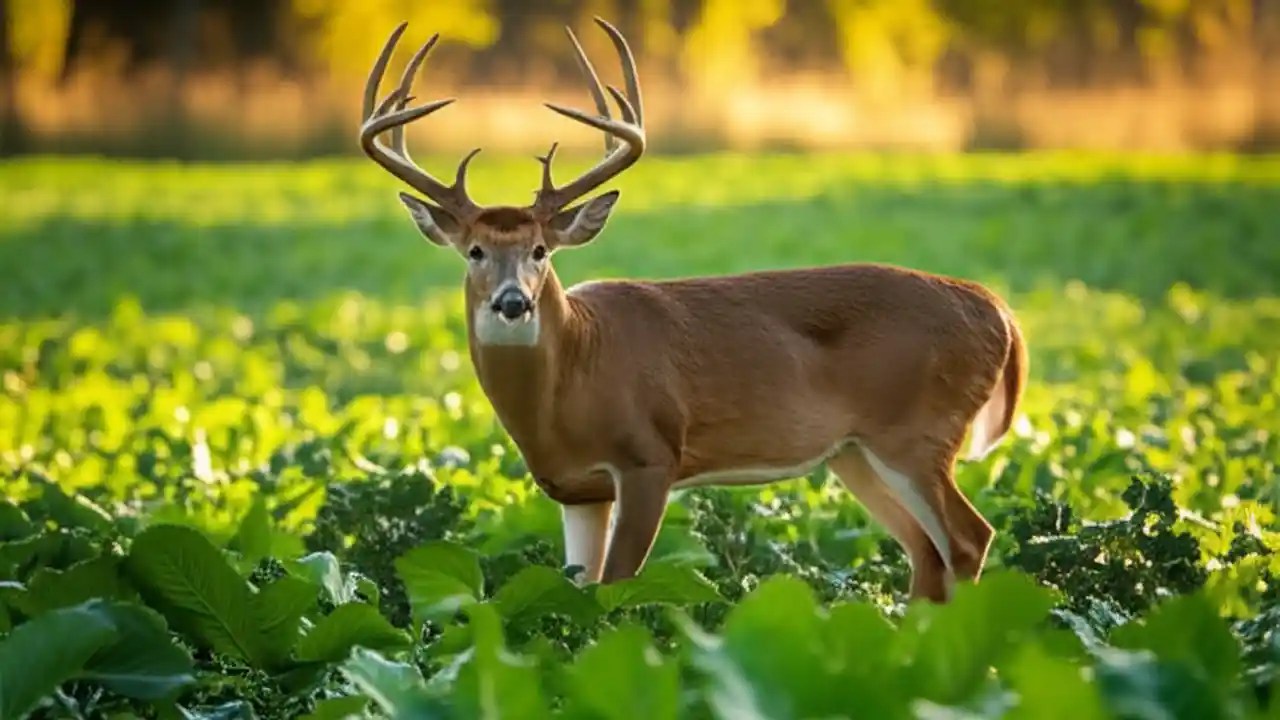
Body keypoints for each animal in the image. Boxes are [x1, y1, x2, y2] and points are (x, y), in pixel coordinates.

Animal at [358, 18, 1027, 603]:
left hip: (918, 433)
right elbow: (576, 591)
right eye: (474, 251)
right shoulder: (575, 491)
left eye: (540, 250)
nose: (513, 301)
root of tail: (998, 309)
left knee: (968, 539)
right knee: (926, 554)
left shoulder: (650, 456)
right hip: (856, 453)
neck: (571, 376)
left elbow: (616, 589)